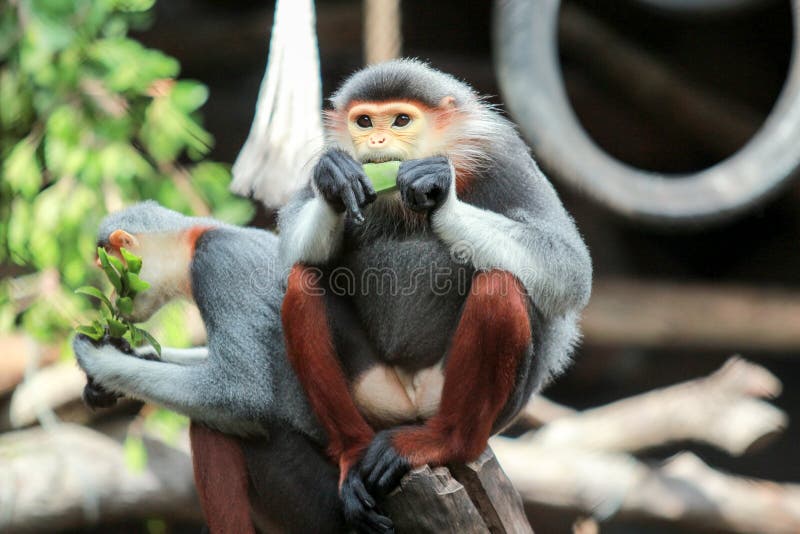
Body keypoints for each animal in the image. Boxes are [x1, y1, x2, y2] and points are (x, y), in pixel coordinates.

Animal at [72, 201, 378, 533]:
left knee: (211, 424)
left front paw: (98, 358)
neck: (195, 238)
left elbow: (243, 392)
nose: (113, 299)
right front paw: (111, 369)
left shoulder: (216, 262)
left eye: (108, 269)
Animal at [278, 59, 593, 526]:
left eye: (401, 120)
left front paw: (438, 189)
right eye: (364, 121)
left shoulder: (503, 157)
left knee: (500, 285)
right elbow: (289, 253)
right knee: (303, 281)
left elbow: (571, 269)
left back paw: (444, 442)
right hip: (375, 397)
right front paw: (334, 179)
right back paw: (353, 456)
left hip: (463, 403)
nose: (376, 140)